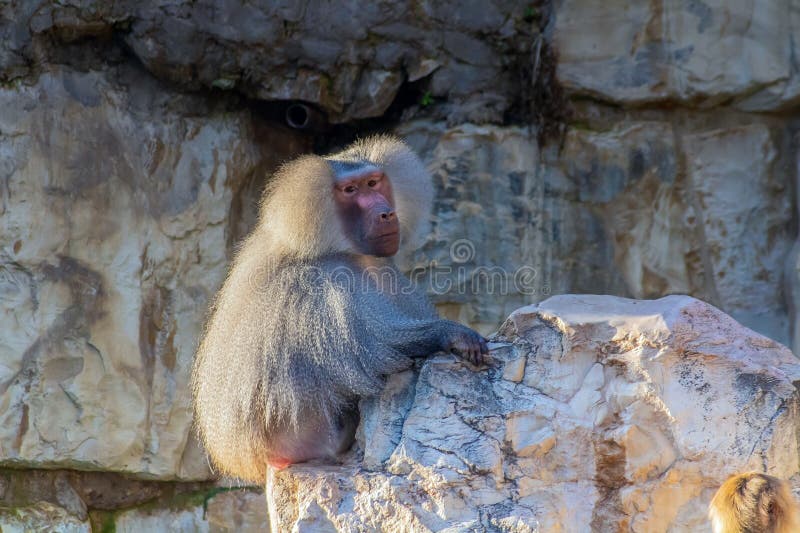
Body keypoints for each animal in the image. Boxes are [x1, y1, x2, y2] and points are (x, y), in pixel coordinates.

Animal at [191, 136, 489, 482]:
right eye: (351, 191)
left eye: (373, 182)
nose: (386, 213)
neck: (343, 247)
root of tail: (267, 458)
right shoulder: (329, 283)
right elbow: (375, 351)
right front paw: (454, 334)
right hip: (307, 435)